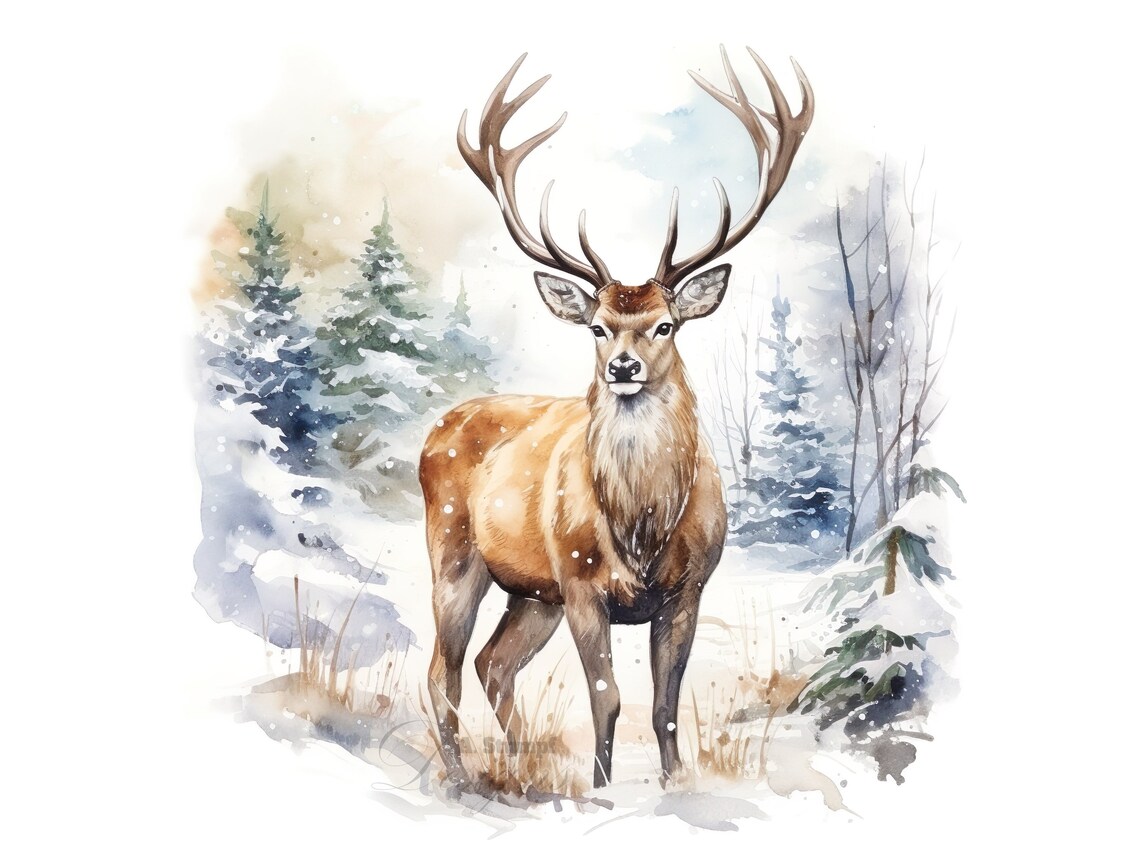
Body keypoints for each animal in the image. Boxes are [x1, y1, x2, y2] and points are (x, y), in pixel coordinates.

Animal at [420, 46, 814, 791]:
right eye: (598, 327)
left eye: (665, 324)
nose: (623, 367)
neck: (641, 527)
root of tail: (434, 429)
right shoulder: (580, 583)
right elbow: (606, 698)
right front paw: (602, 791)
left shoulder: (689, 588)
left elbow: (664, 704)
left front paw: (671, 783)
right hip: (455, 551)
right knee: (443, 670)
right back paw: (459, 776)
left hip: (531, 592)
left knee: (493, 663)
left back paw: (521, 760)